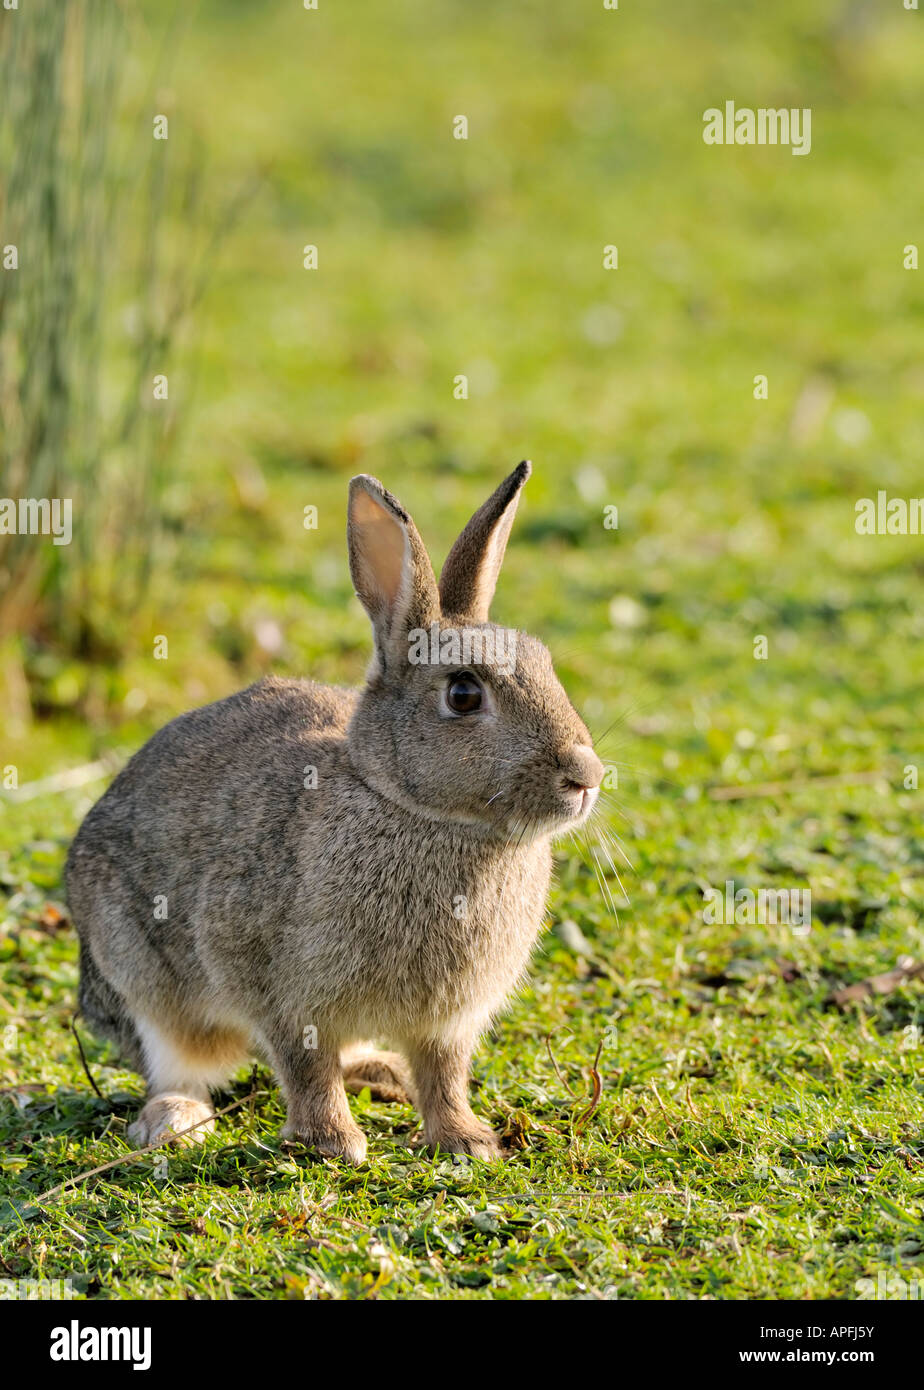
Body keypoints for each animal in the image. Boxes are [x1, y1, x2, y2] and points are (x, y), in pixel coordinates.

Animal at [66, 461, 604, 1162]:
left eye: (547, 666)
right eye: (463, 693)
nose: (586, 776)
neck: (416, 811)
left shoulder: (448, 1022)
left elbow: (444, 1074)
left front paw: (466, 1142)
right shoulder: (276, 988)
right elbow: (304, 1064)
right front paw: (332, 1143)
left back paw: (383, 1073)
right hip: (134, 971)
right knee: (176, 1061)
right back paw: (177, 1119)